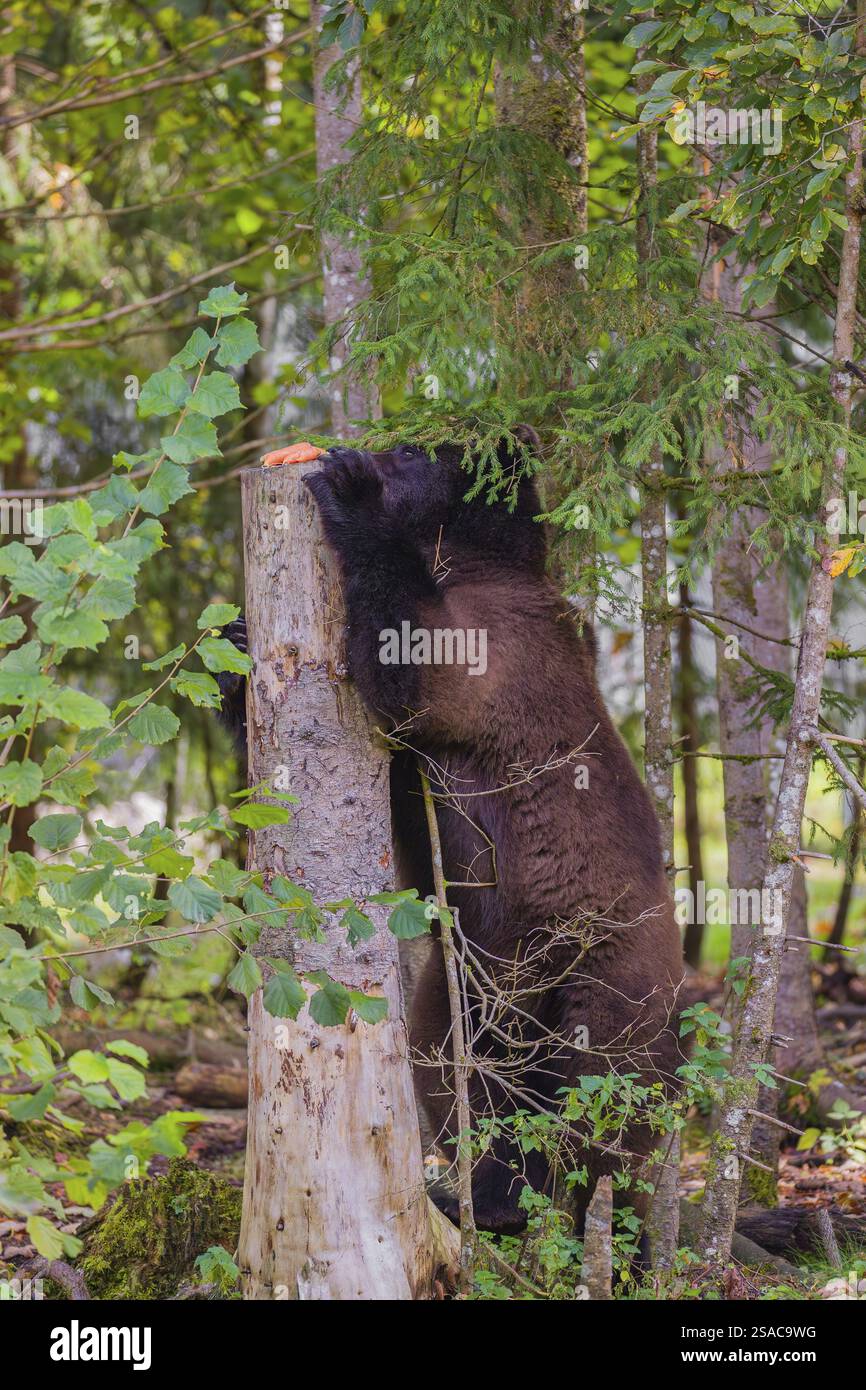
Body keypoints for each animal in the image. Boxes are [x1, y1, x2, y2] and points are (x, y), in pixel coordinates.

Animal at [218, 437, 684, 1237]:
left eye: (410, 451)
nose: (364, 447)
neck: (463, 558)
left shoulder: (496, 643)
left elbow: (413, 670)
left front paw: (351, 493)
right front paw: (236, 645)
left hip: (605, 972)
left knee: (596, 1098)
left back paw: (552, 1209)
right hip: (466, 985)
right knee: (454, 1072)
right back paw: (479, 1191)